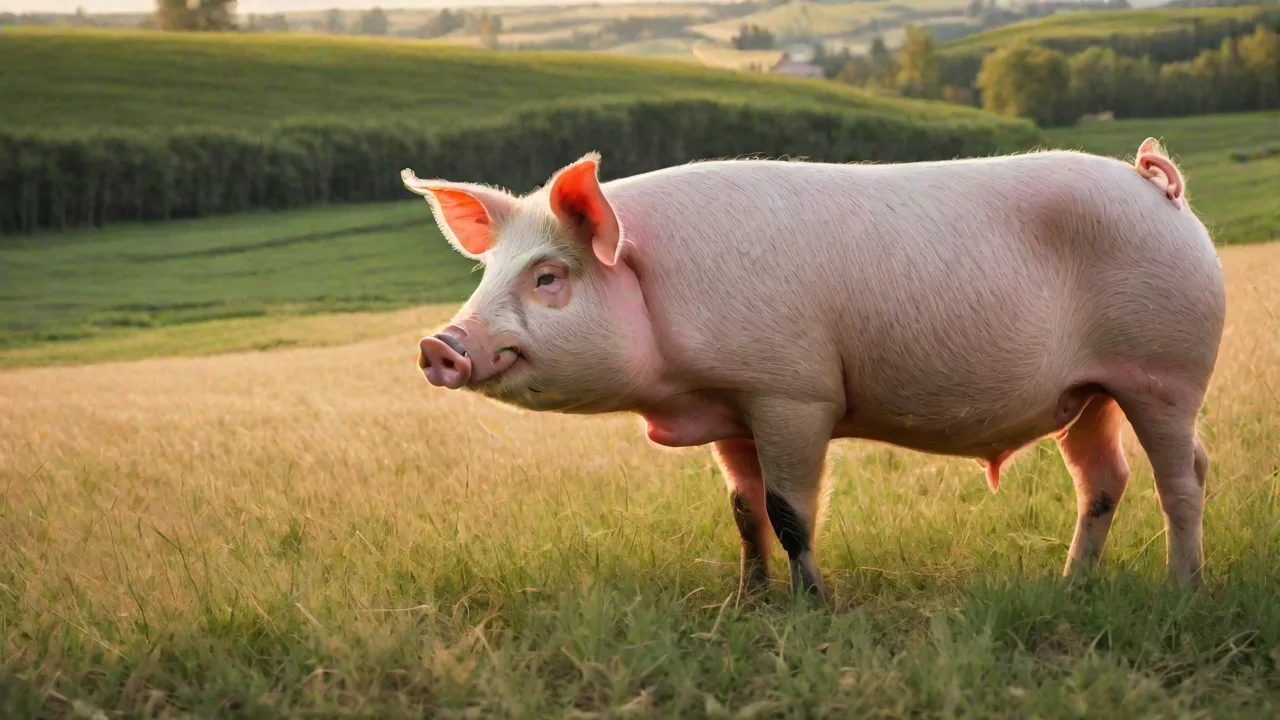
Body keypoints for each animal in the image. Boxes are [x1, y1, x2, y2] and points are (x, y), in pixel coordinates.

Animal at [405, 136, 1226, 603]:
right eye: (487, 272)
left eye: (549, 276)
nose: (439, 345)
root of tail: (1159, 187)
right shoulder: (731, 408)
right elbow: (743, 511)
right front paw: (750, 601)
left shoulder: (791, 391)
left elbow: (788, 510)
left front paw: (813, 607)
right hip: (1090, 391)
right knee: (1103, 480)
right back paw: (1071, 587)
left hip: (1165, 372)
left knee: (1183, 476)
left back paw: (1182, 591)